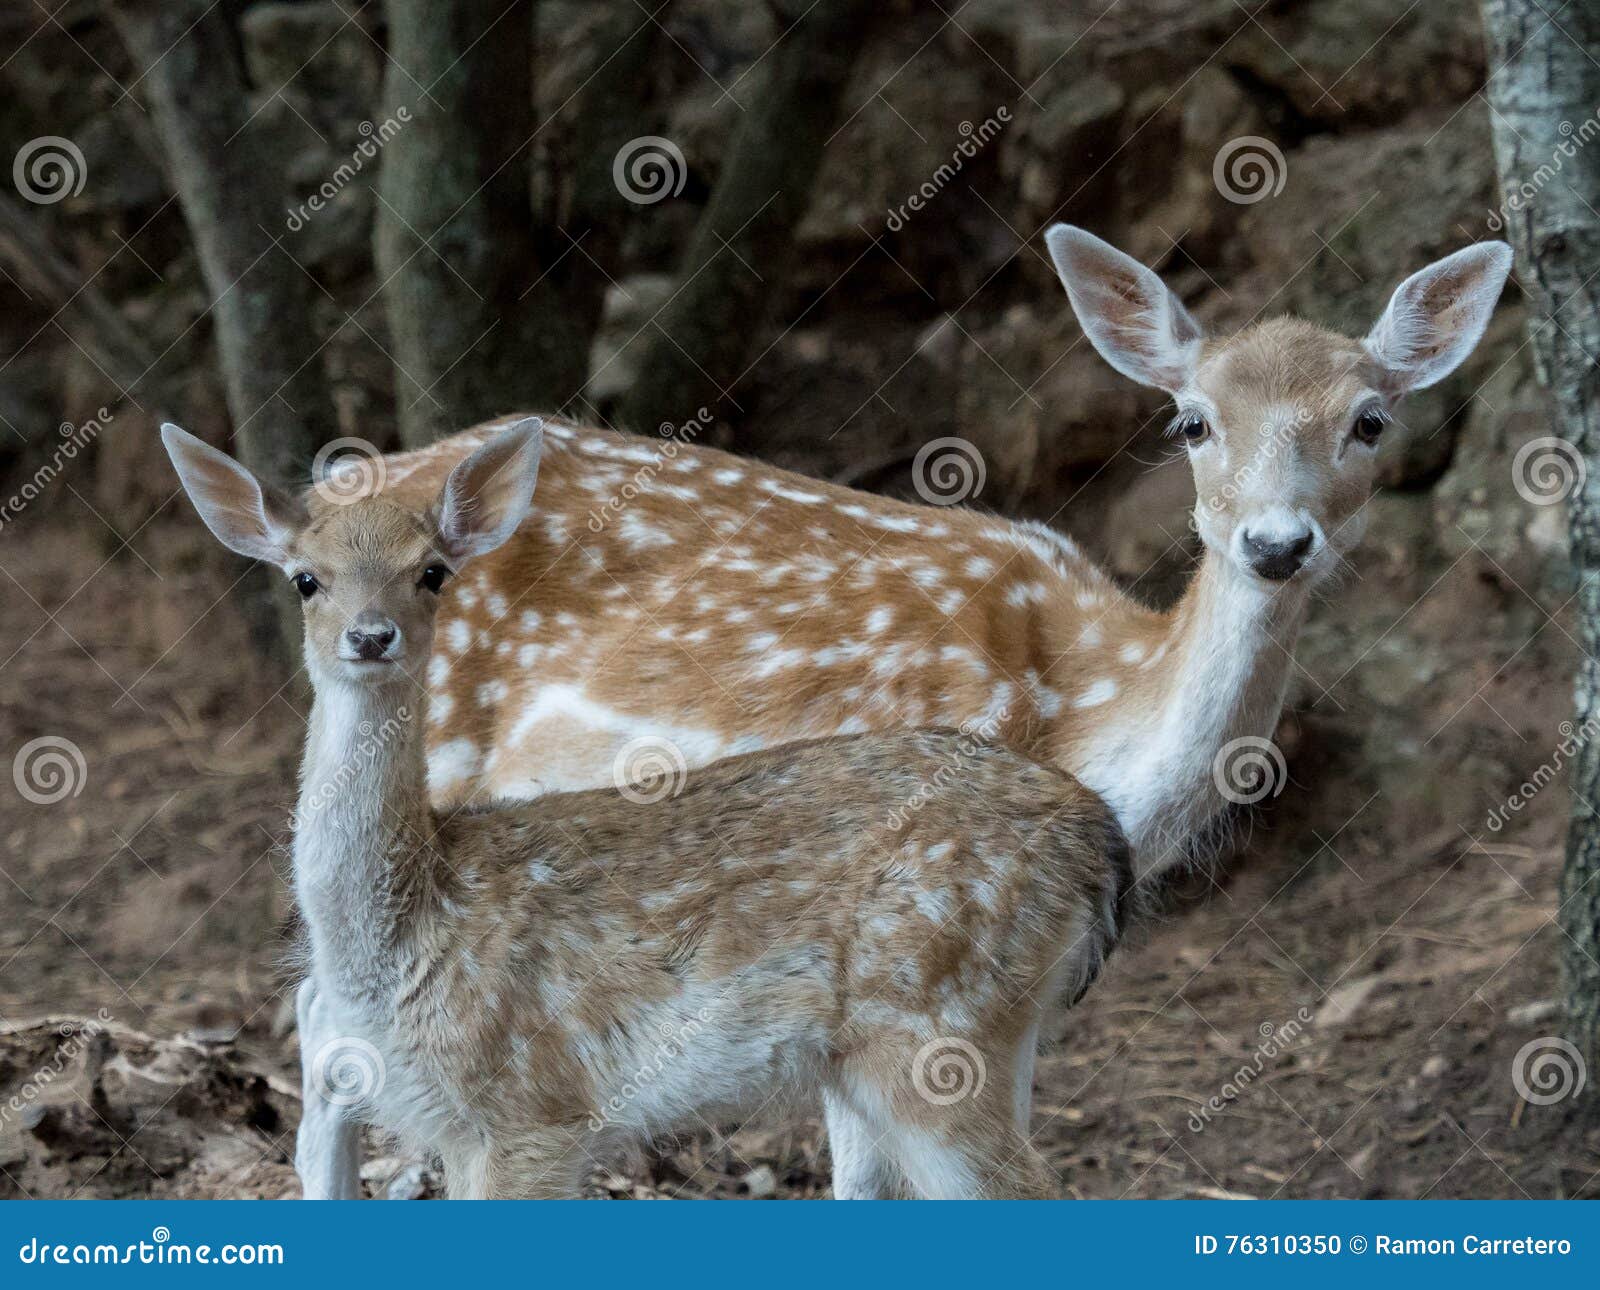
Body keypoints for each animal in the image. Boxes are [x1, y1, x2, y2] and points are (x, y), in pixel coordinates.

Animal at [162, 418, 1132, 1199]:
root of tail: (1095, 838)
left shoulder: (534, 1110)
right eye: (305, 579)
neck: (410, 927)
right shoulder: (466, 1125)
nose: (372, 636)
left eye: (431, 572)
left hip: (933, 1029)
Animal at [287, 226, 1513, 1198]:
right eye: (1193, 423)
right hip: (441, 750)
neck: (1086, 715)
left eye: (1369, 421)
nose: (1275, 544)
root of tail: (336, 486)